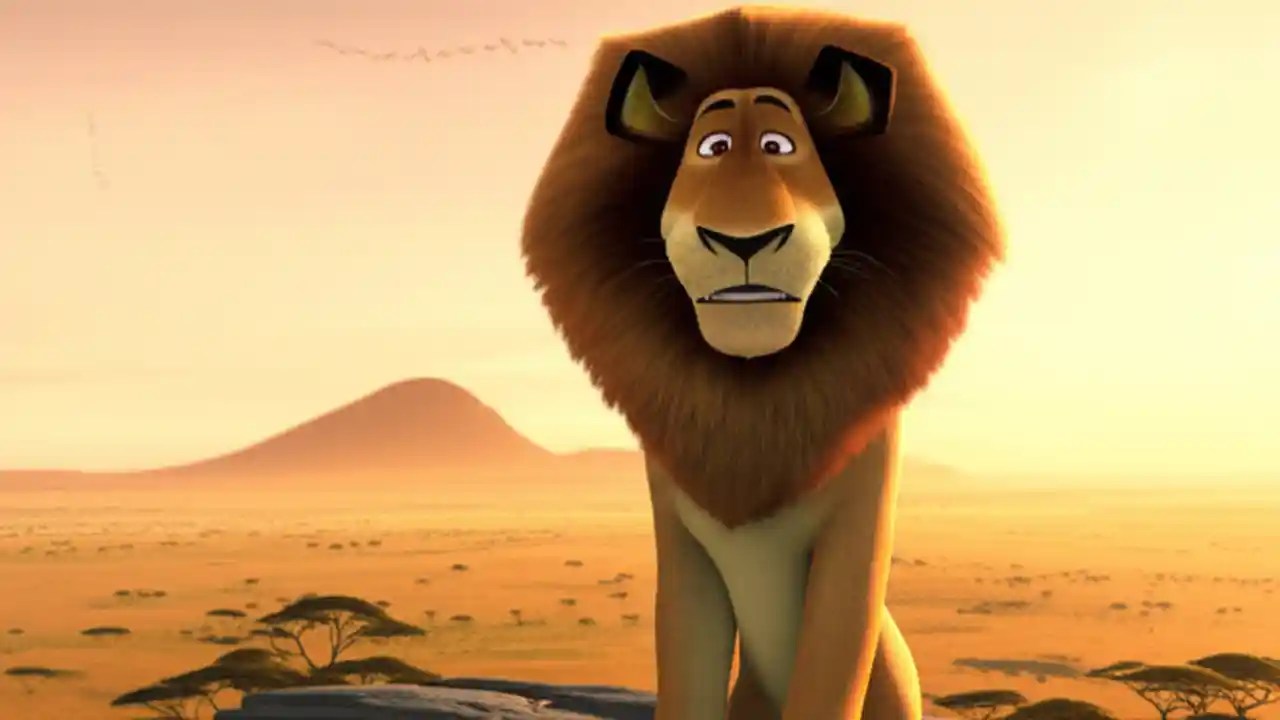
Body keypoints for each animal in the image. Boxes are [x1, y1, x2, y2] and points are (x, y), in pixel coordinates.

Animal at [521, 6, 1003, 720]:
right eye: (711, 147)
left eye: (780, 145)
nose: (744, 241)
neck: (753, 394)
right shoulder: (676, 532)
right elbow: (686, 665)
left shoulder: (862, 513)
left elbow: (832, 659)